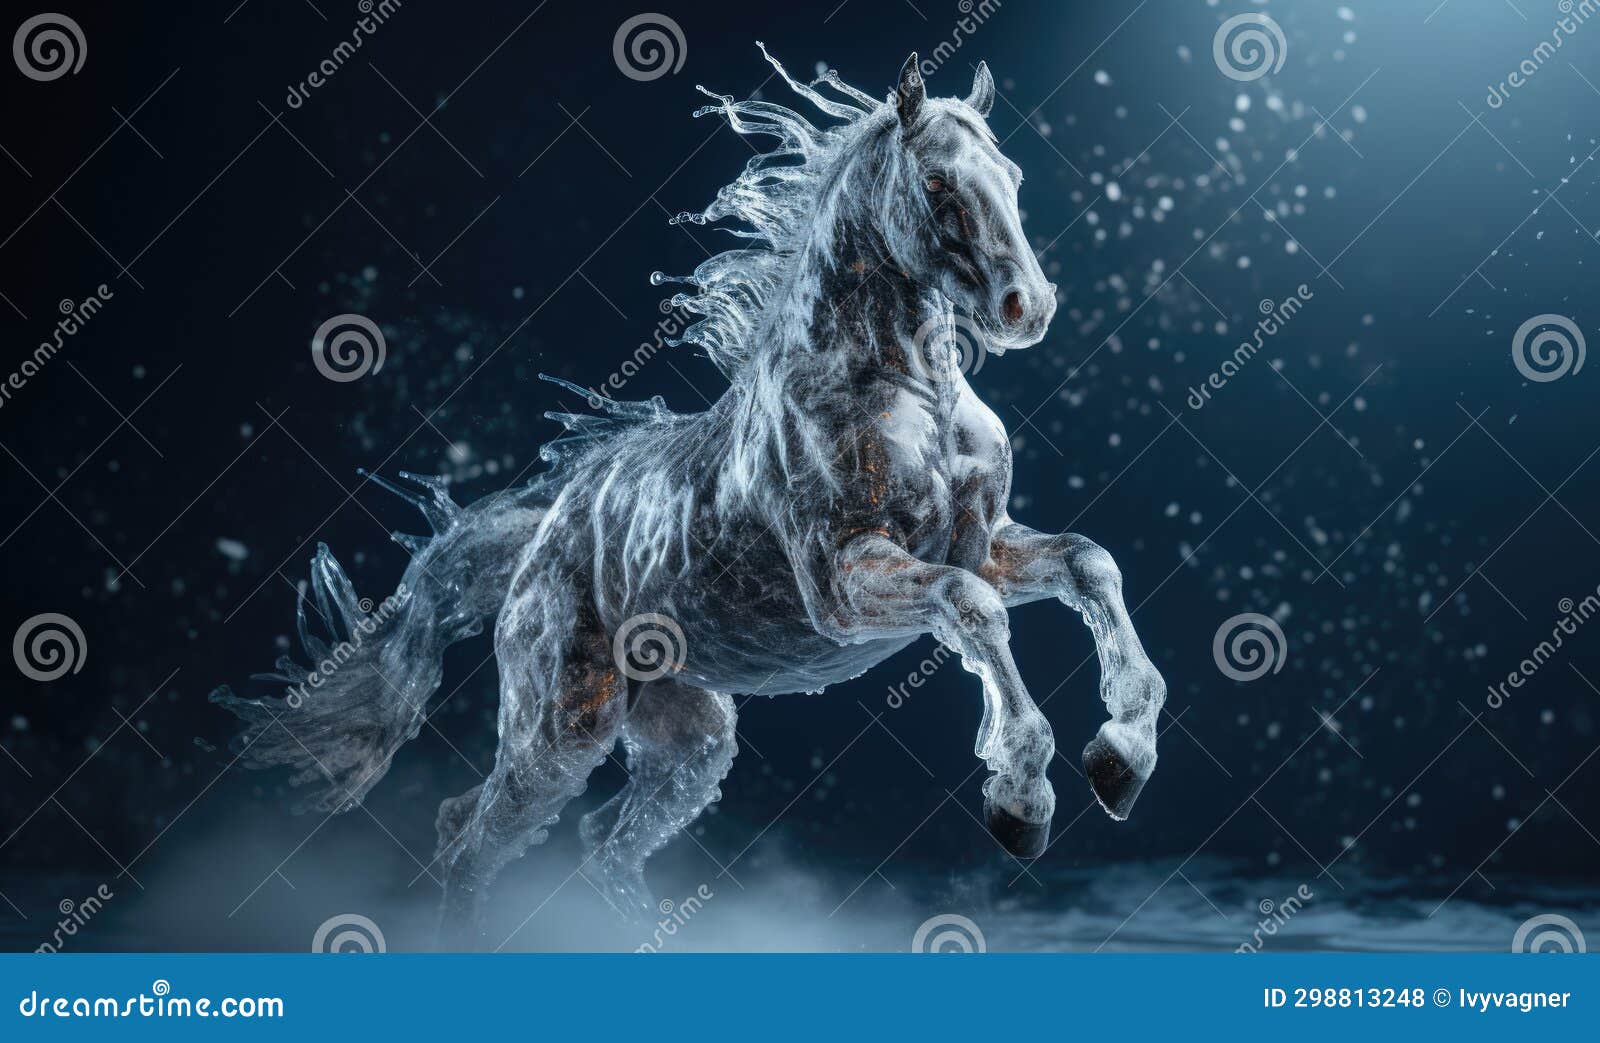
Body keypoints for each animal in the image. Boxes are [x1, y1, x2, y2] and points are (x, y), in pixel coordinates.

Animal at [213, 47, 1168, 948]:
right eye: (936, 182)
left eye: (1011, 176)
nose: (1026, 307)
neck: (907, 392)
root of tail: (535, 543)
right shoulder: (844, 583)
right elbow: (972, 608)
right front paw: (1021, 796)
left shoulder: (981, 540)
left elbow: (1089, 562)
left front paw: (1121, 756)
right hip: (563, 727)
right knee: (468, 837)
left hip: (690, 742)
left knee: (596, 848)